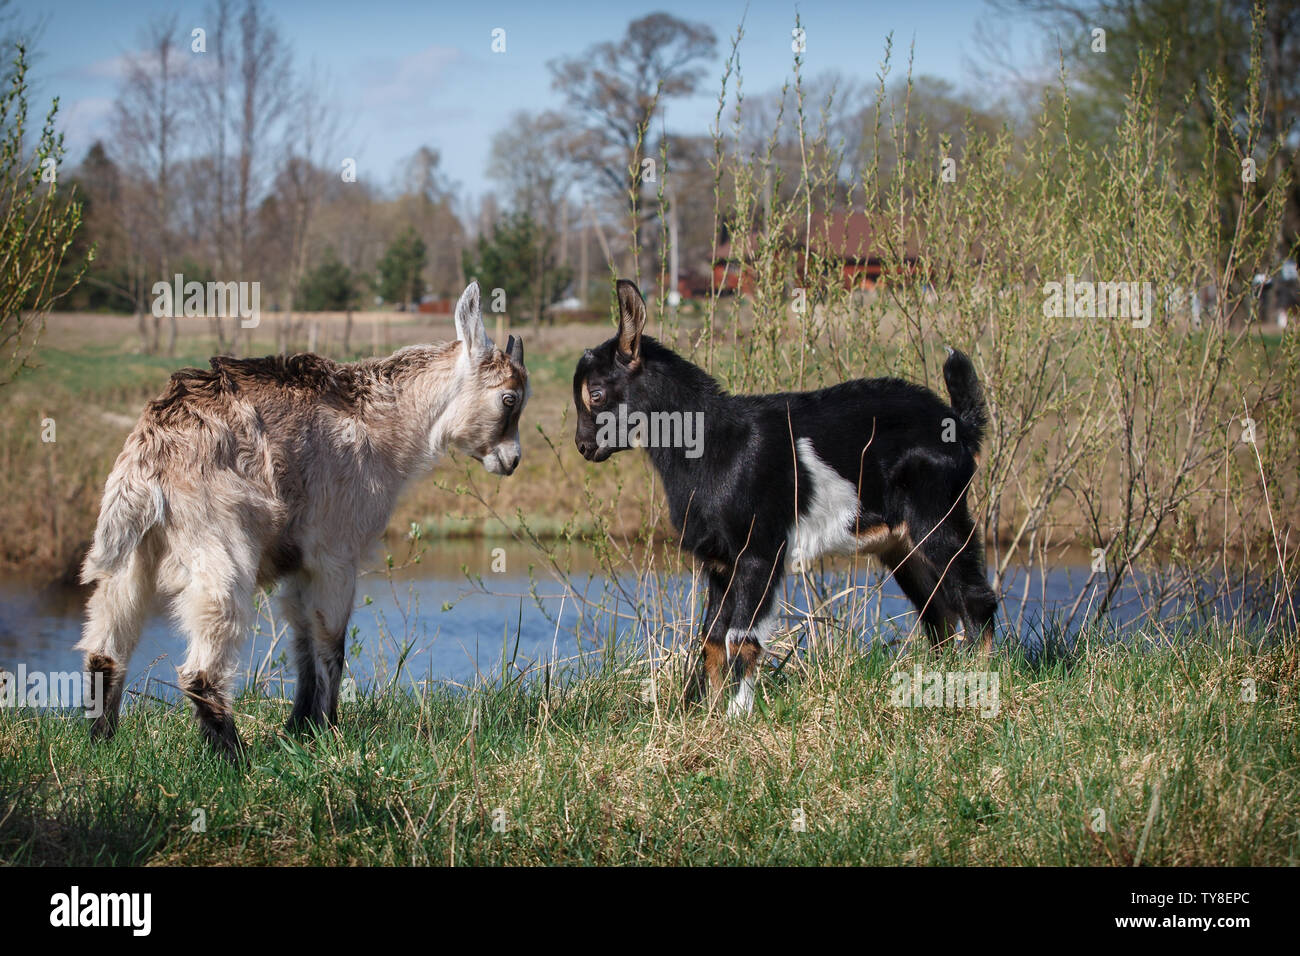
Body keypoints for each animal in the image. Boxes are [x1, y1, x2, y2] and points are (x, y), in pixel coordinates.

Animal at [76, 281, 528, 758]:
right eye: (509, 398)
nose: (513, 459)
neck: (384, 420)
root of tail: (151, 451)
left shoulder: (298, 566)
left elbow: (302, 640)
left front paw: (301, 727)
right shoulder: (335, 555)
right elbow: (331, 642)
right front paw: (329, 729)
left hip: (132, 554)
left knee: (105, 648)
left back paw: (102, 741)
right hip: (220, 550)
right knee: (200, 669)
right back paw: (233, 755)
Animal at [572, 280, 997, 715]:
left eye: (597, 394)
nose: (583, 447)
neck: (717, 442)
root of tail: (959, 425)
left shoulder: (759, 552)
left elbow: (742, 638)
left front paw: (736, 715)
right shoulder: (721, 563)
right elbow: (712, 638)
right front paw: (705, 712)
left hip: (939, 516)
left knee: (975, 599)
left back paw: (978, 680)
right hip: (901, 544)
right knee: (939, 610)